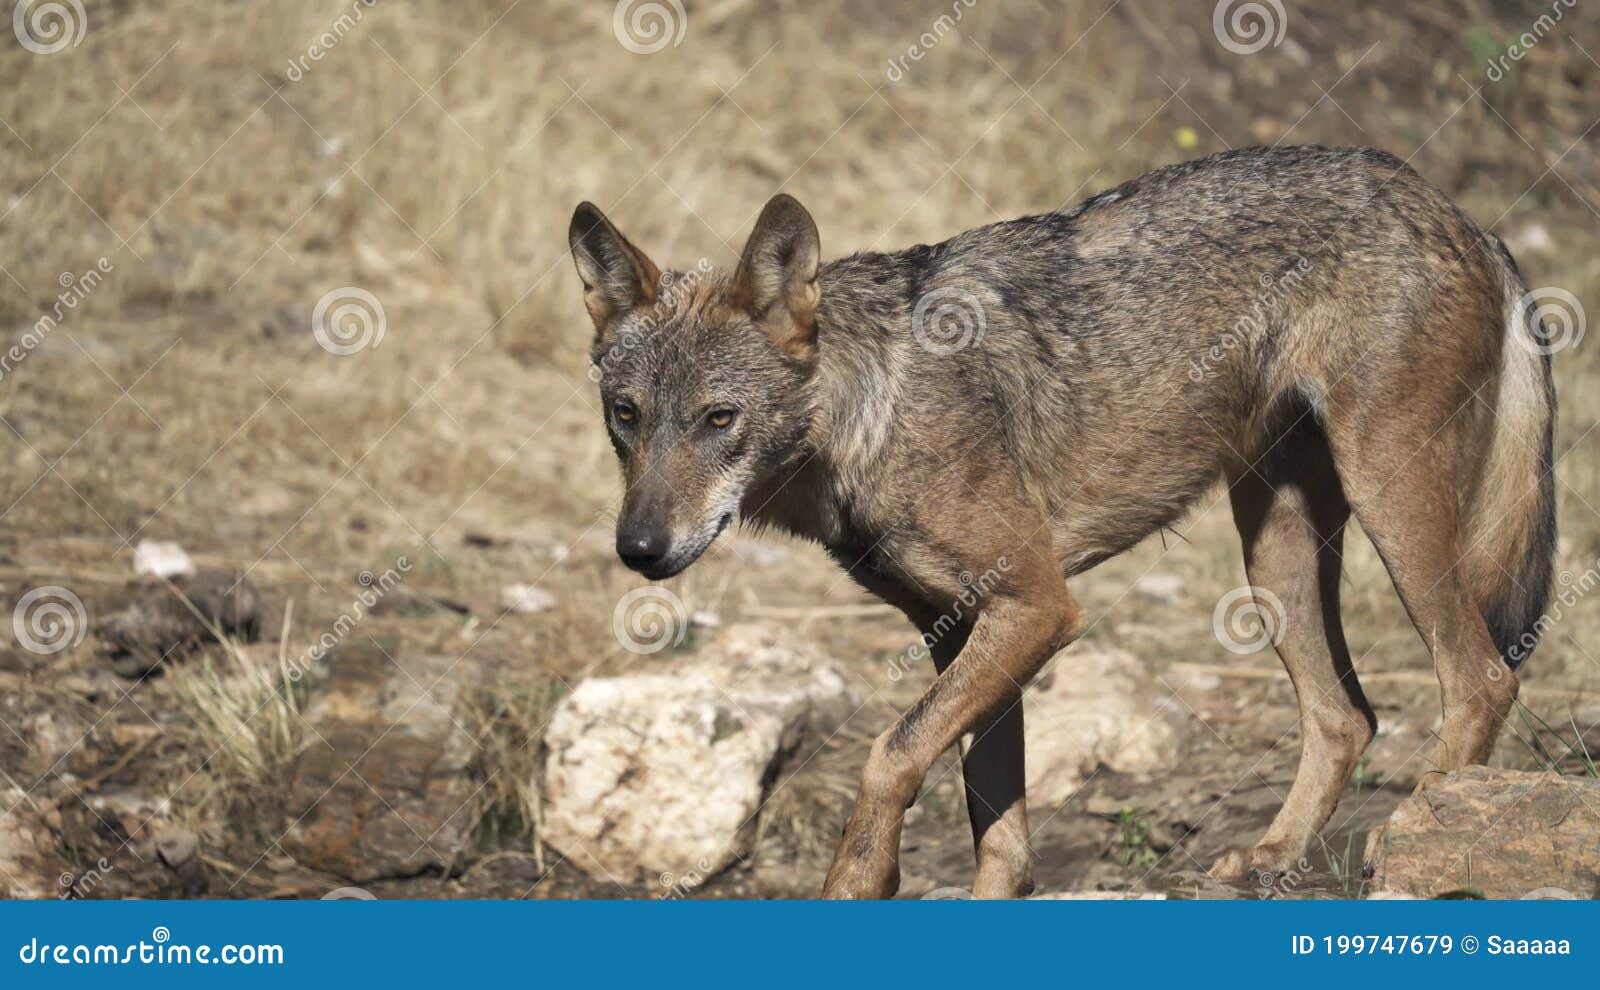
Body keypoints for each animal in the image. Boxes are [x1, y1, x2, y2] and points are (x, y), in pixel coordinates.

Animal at [568, 145, 1556, 899]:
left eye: (717, 419)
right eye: (625, 416)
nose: (638, 549)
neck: (871, 416)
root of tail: (1460, 213)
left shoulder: (1039, 606)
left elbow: (890, 753)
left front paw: (858, 881)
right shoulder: (964, 628)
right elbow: (995, 828)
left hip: (1391, 503)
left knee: (1480, 680)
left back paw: (1415, 849)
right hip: (1274, 555)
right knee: (1346, 715)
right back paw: (1272, 856)